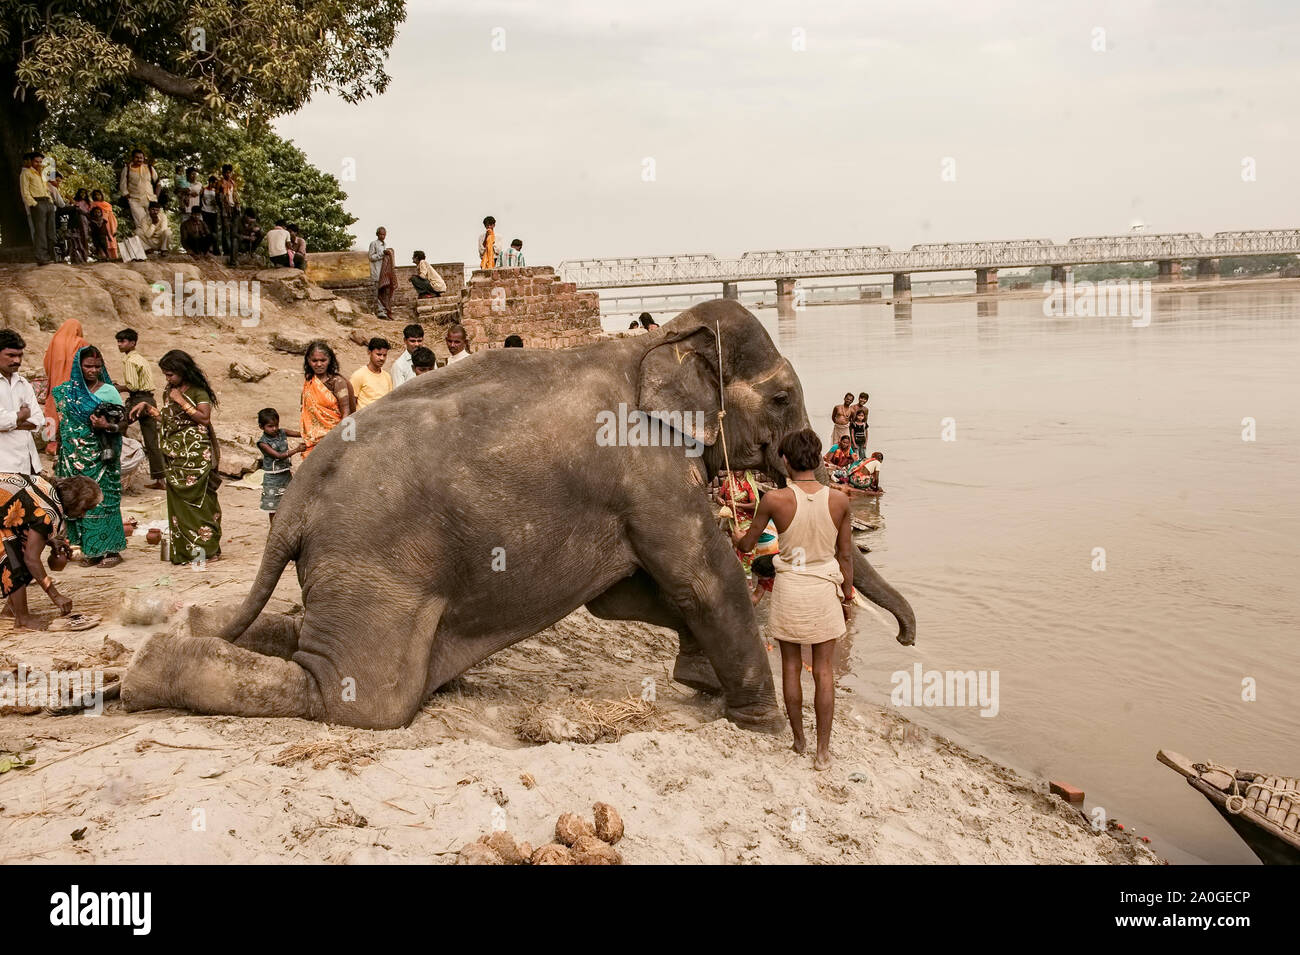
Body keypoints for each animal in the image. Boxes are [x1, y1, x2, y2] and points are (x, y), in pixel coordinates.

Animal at [121, 299, 915, 730]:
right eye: (781, 397)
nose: (909, 637)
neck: (648, 343)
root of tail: (295, 499)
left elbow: (626, 595)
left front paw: (699, 679)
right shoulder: (644, 466)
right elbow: (699, 576)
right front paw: (761, 723)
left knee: (294, 638)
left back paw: (171, 639)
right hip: (373, 561)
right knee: (362, 692)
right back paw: (150, 667)